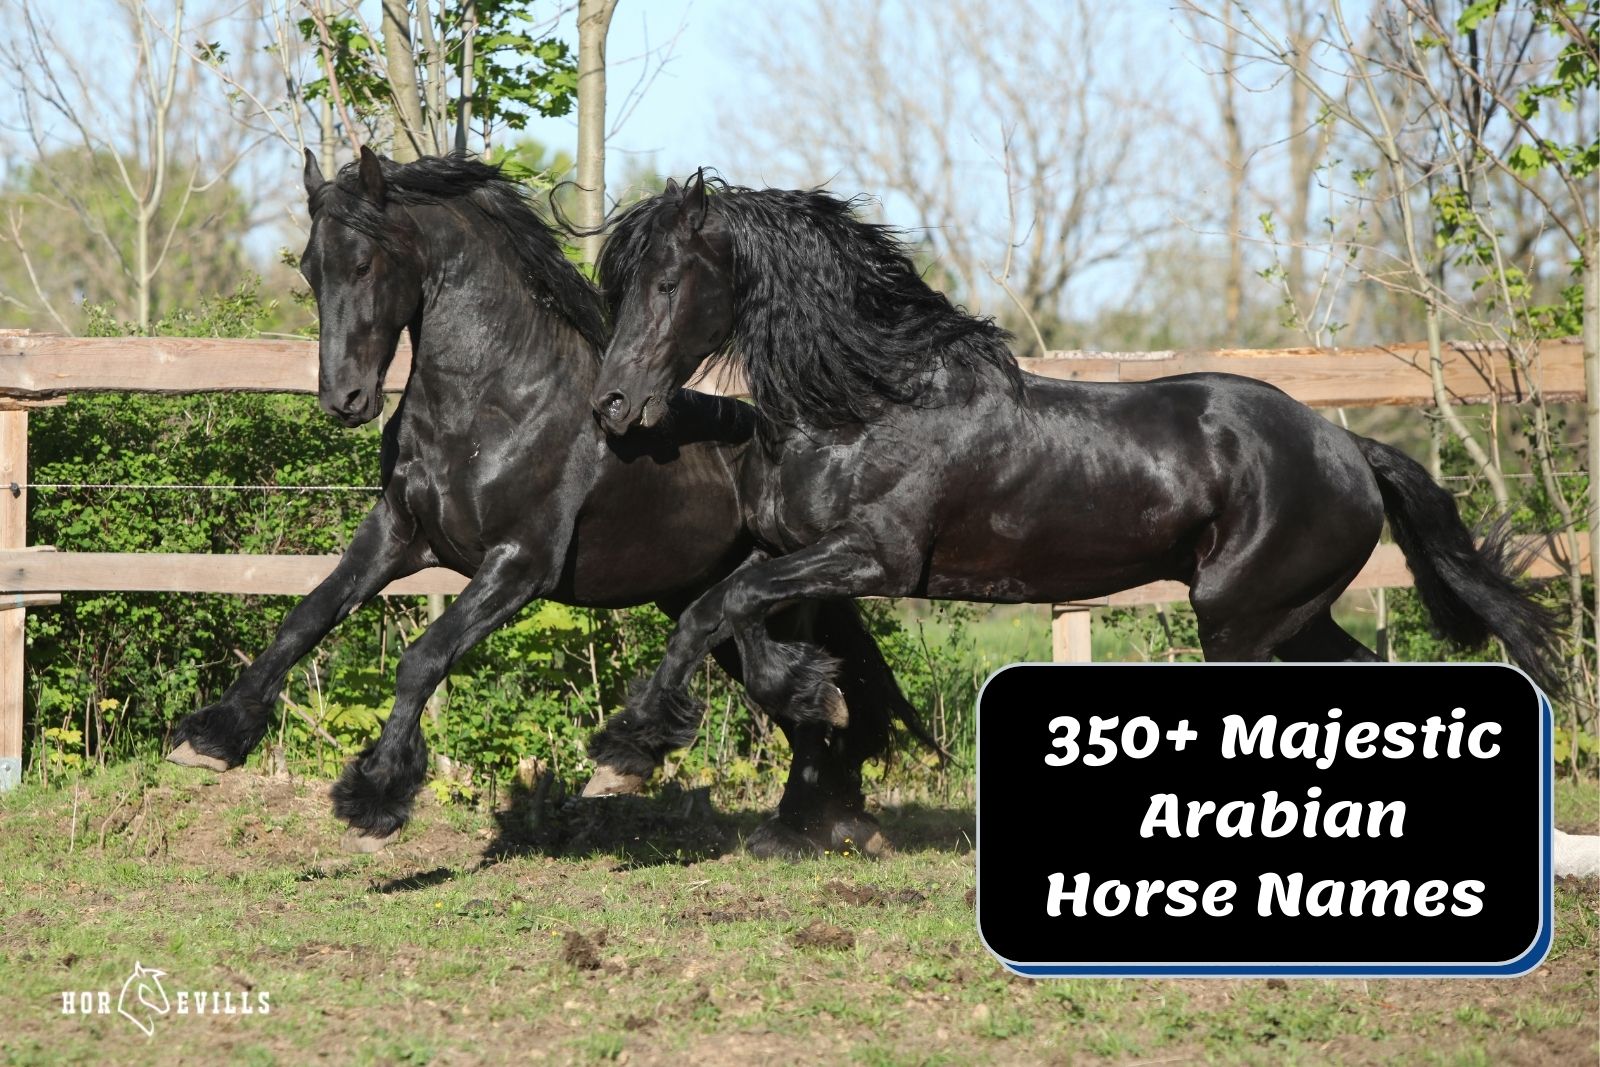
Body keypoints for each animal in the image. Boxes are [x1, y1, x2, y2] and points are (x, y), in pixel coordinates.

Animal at [165, 149, 920, 858]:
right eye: (309, 270)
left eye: (365, 261)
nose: (344, 399)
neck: (492, 406)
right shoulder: (397, 534)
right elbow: (307, 616)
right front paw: (209, 739)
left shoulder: (519, 565)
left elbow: (423, 657)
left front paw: (373, 800)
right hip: (701, 597)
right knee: (803, 701)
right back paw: (816, 818)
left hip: (779, 595)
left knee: (812, 707)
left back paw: (803, 821)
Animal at [578, 171, 1561, 795]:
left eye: (668, 281)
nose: (612, 405)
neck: (867, 406)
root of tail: (1348, 445)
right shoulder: (791, 552)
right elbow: (733, 613)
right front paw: (803, 693)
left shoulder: (872, 556)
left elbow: (725, 605)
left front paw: (627, 747)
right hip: (1297, 618)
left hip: (1241, 620)